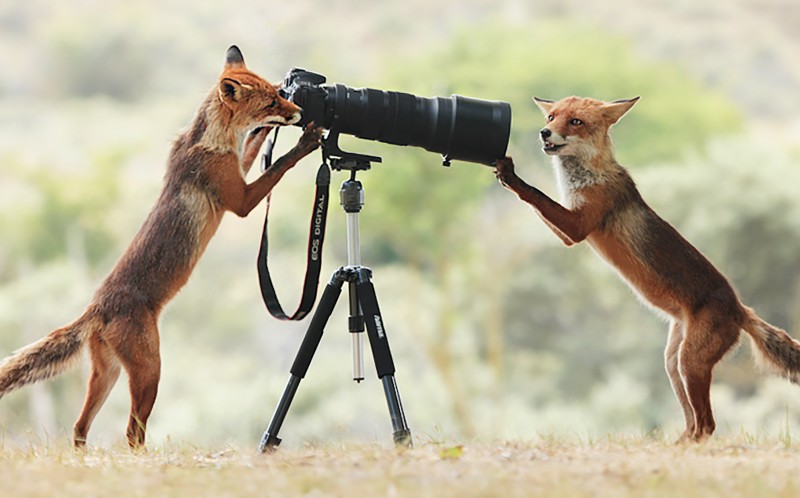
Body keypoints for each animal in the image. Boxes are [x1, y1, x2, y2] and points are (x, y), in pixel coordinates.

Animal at [0, 46, 323, 448]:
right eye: (271, 102)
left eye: (279, 94)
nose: (298, 112)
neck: (212, 140)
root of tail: (97, 307)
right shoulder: (241, 201)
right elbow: (278, 166)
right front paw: (306, 143)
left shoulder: (237, 171)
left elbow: (251, 148)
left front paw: (266, 134)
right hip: (149, 372)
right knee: (131, 433)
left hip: (107, 374)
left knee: (79, 426)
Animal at [494, 95, 800, 442]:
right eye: (551, 116)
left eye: (575, 122)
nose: (544, 132)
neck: (587, 175)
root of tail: (740, 307)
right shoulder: (570, 231)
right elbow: (540, 202)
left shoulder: (579, 226)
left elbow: (535, 194)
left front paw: (511, 175)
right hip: (673, 363)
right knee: (694, 422)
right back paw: (676, 445)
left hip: (690, 362)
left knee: (707, 424)